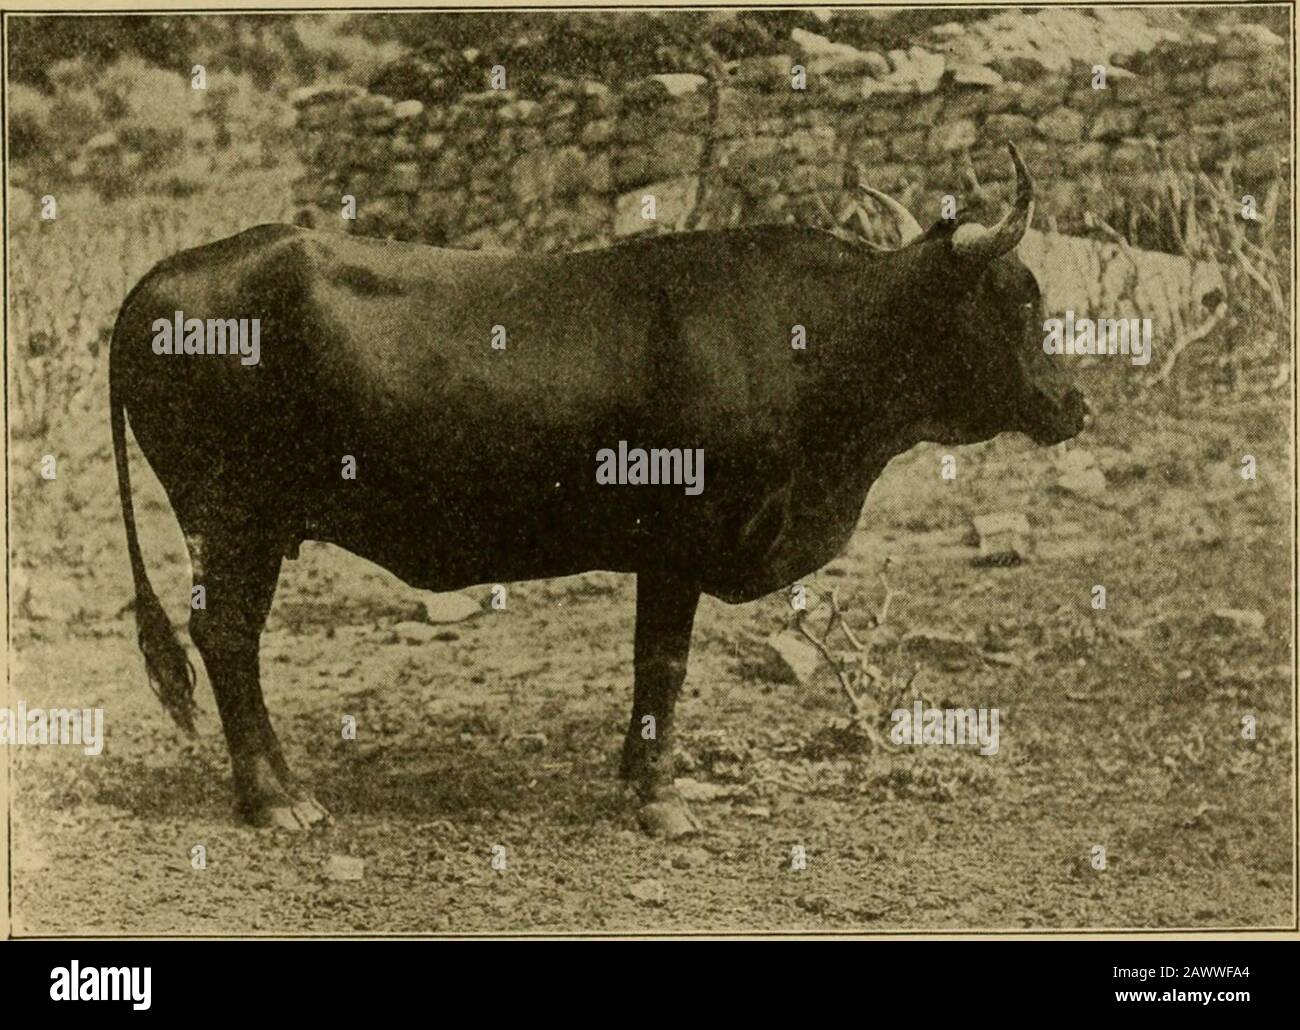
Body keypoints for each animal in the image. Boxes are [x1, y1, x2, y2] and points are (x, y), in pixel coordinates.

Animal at [110, 144, 1088, 837]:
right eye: (1018, 301)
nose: (1073, 403)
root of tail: (161, 278)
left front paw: (636, 774)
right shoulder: (682, 539)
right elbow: (664, 663)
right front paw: (658, 797)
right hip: (234, 516)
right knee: (227, 637)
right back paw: (275, 799)